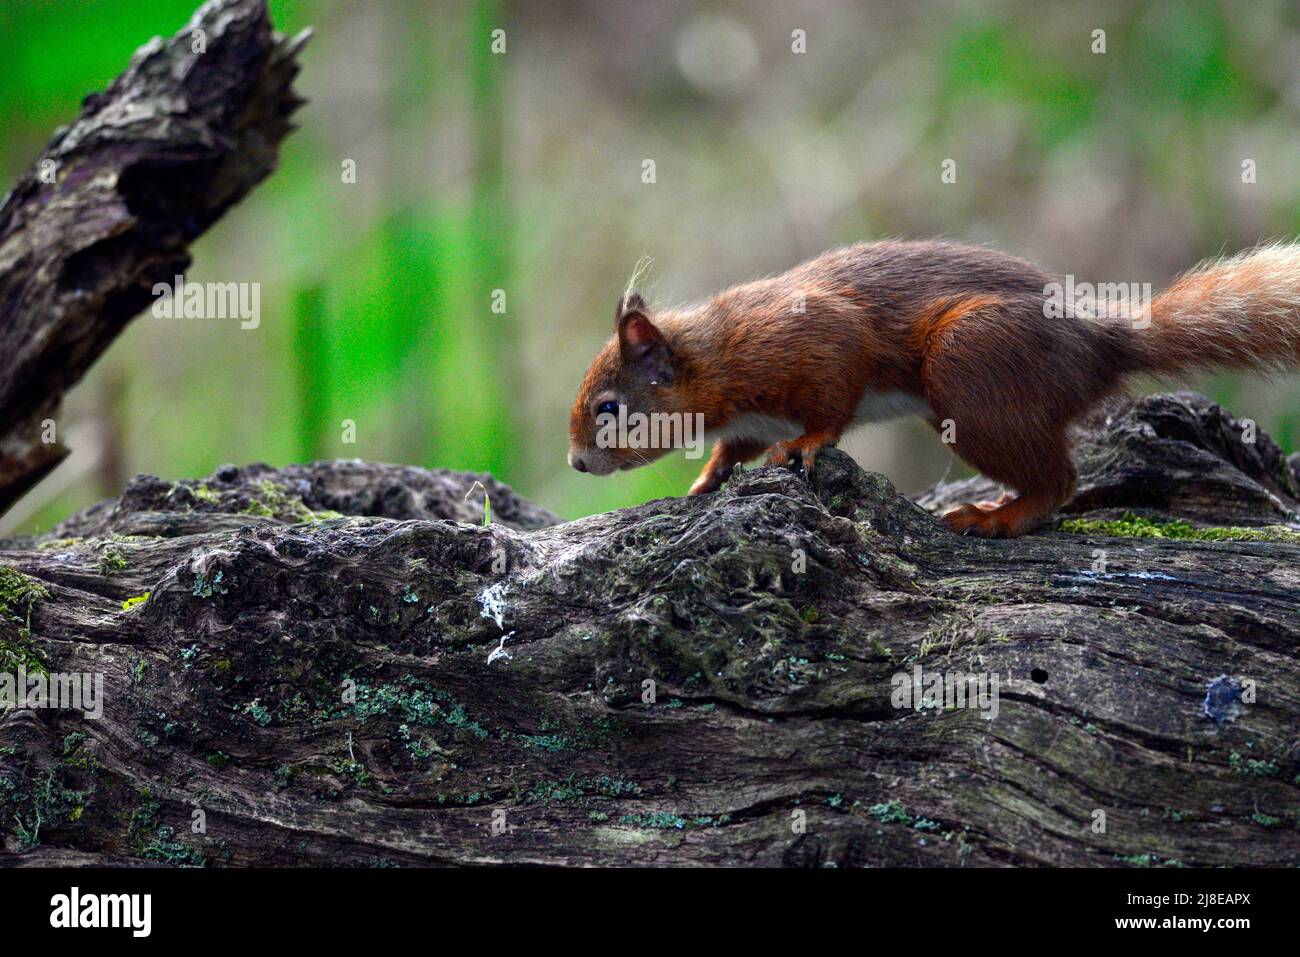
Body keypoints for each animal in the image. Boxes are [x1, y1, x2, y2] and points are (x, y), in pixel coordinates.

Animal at [568, 240, 1300, 537]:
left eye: (609, 408)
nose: (575, 462)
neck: (717, 354)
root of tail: (1099, 341)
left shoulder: (812, 341)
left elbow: (832, 402)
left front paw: (804, 444)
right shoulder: (750, 416)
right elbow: (732, 449)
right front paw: (706, 480)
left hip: (968, 366)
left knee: (1059, 479)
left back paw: (997, 515)